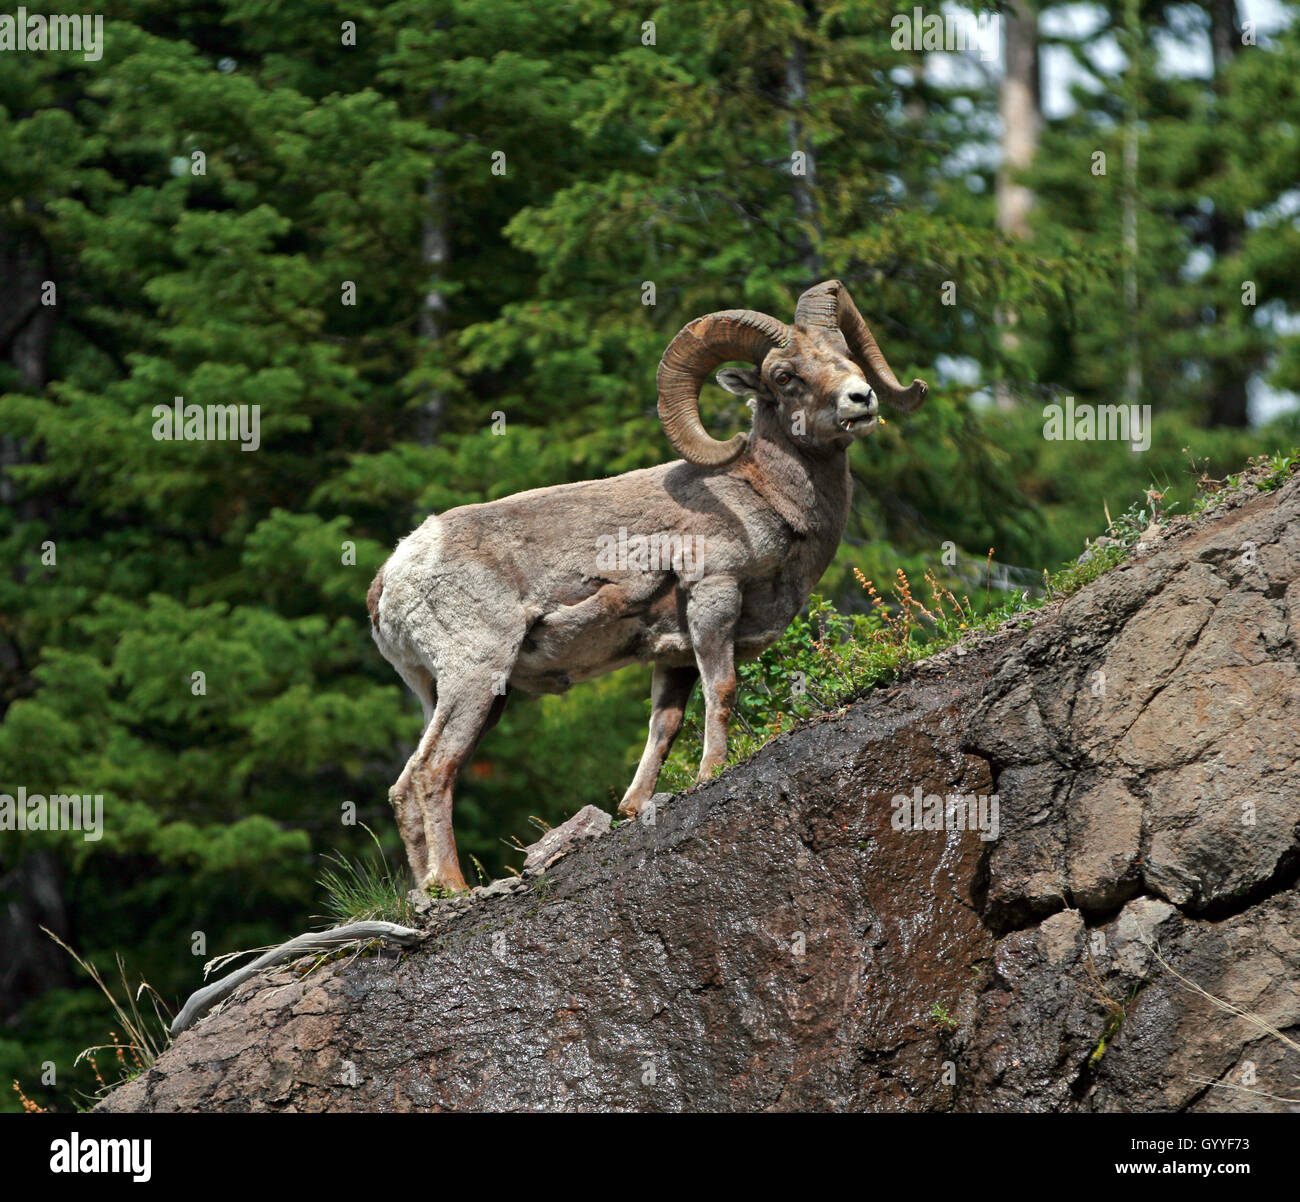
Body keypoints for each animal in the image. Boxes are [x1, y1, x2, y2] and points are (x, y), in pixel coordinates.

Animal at [369, 280, 928, 892]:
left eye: (845, 355)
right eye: (785, 376)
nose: (861, 399)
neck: (765, 495)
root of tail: (394, 575)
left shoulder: (672, 655)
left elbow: (666, 723)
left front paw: (635, 807)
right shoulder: (714, 598)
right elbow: (722, 691)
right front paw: (712, 772)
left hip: (451, 693)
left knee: (404, 785)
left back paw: (427, 897)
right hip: (475, 678)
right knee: (431, 773)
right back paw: (454, 887)